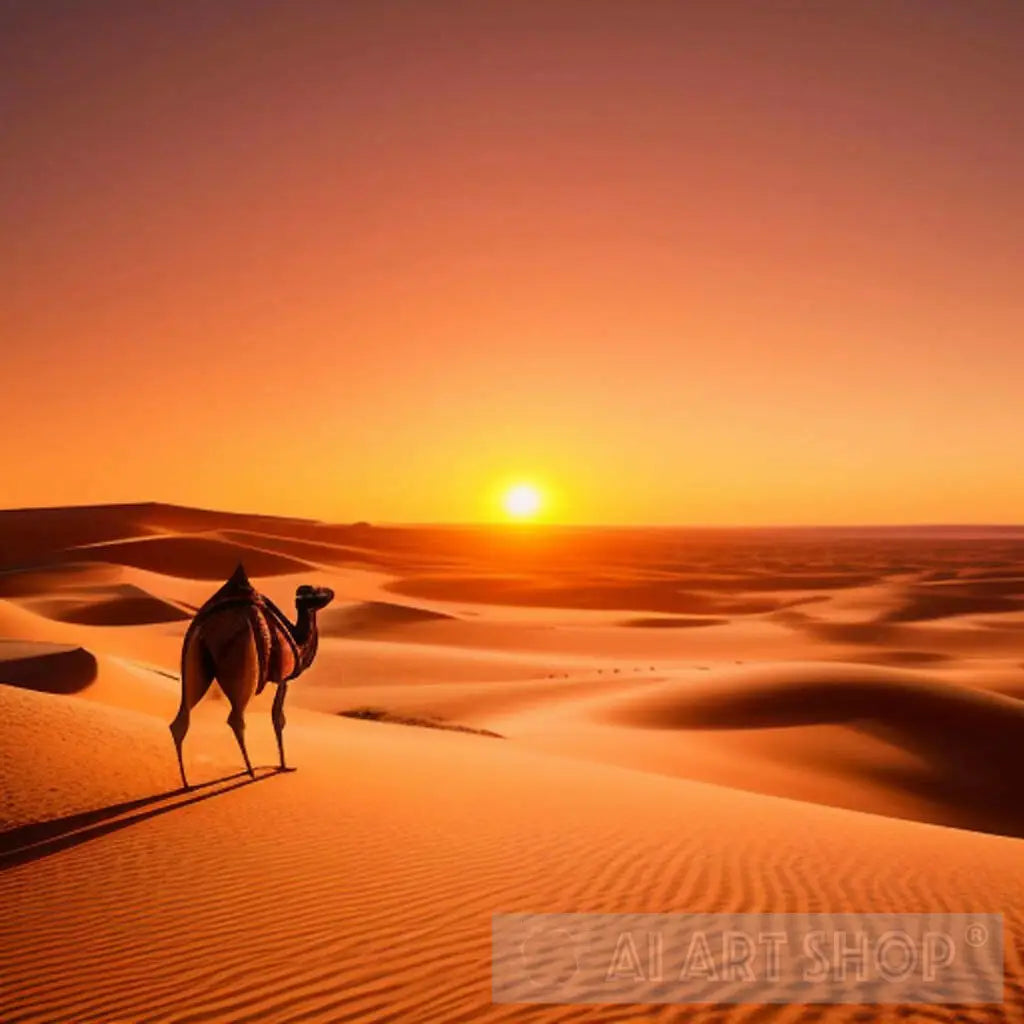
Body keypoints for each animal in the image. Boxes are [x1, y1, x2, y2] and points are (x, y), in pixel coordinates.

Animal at [170, 563, 334, 789]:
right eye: (315, 592)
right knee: (236, 717)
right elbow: (278, 718)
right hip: (244, 654)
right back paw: (250, 772)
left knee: (181, 718)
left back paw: (187, 783)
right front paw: (284, 766)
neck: (299, 642)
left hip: (193, 657)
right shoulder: (283, 679)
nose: (331, 592)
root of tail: (208, 625)